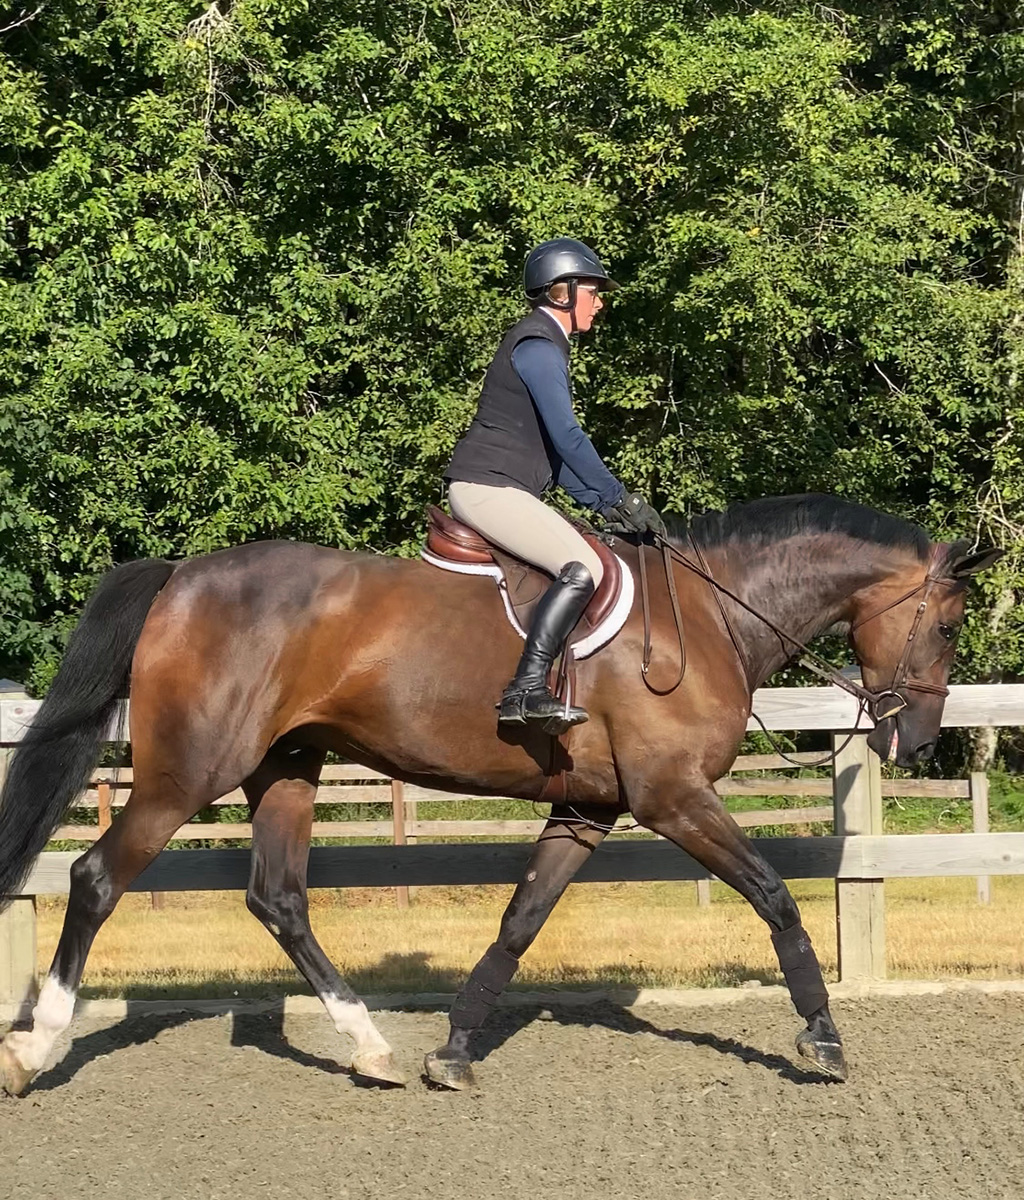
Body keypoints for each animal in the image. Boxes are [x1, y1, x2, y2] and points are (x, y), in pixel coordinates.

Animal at [0, 493, 1001, 1096]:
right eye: (950, 625)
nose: (913, 738)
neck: (712, 613)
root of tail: (181, 573)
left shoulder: (589, 809)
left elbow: (521, 921)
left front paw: (452, 1051)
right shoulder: (673, 798)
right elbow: (775, 896)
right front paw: (823, 1039)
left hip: (285, 767)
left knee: (278, 899)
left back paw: (372, 1048)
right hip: (188, 772)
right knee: (96, 879)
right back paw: (35, 1048)